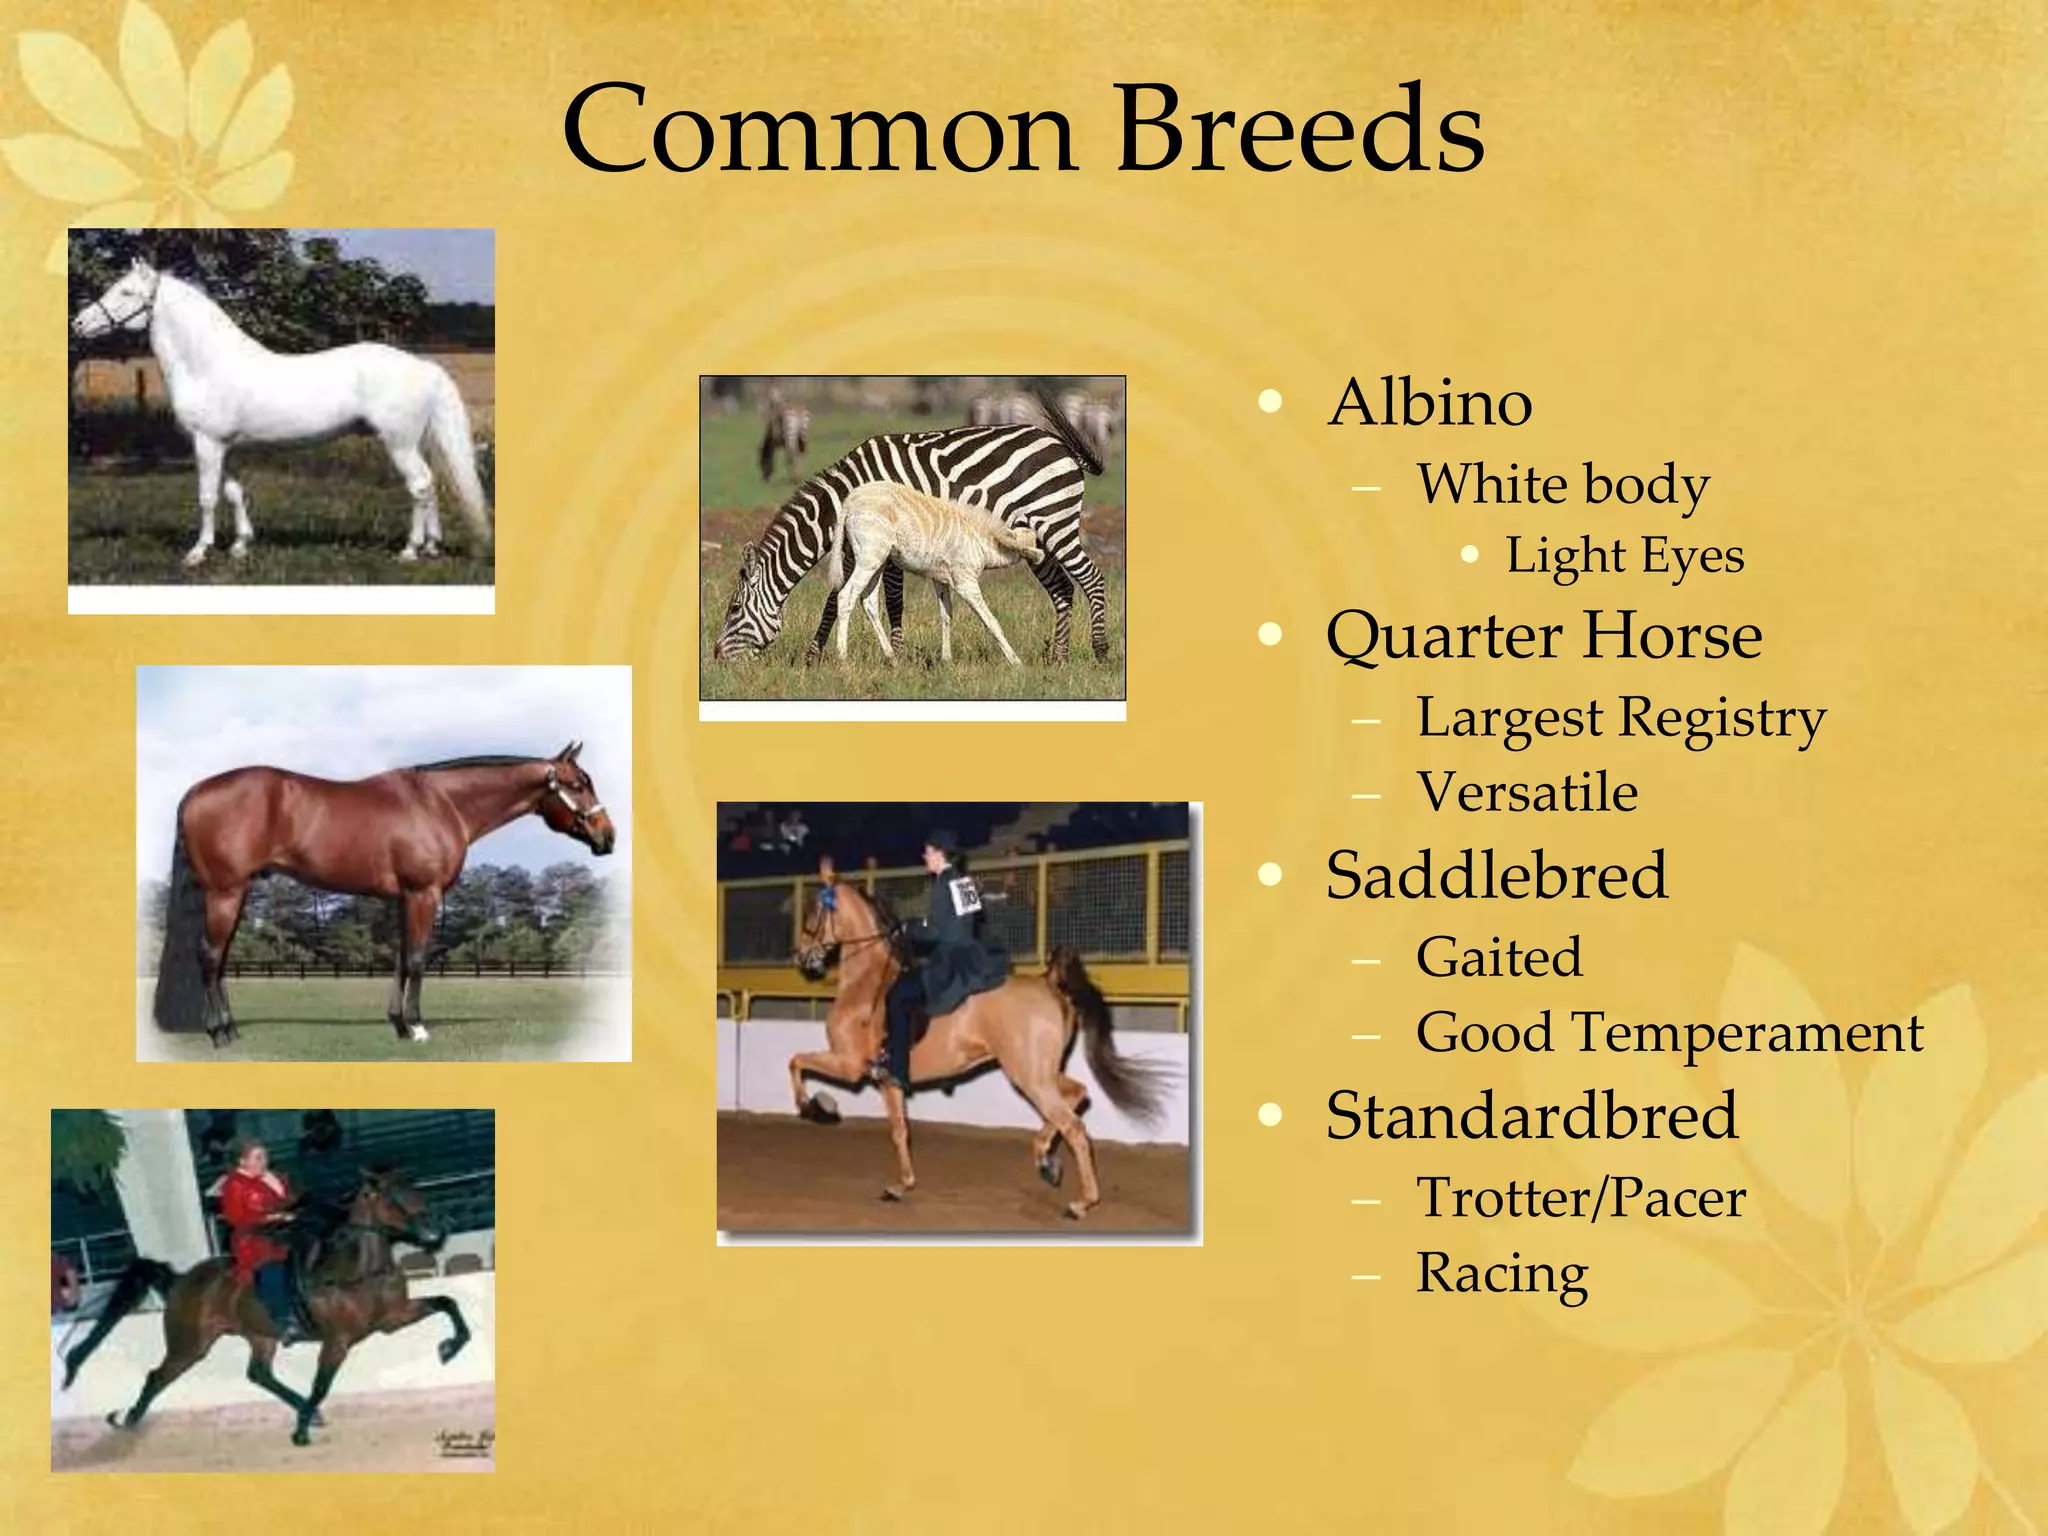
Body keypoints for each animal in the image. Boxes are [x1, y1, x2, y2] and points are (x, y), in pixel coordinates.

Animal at [59, 1169, 470, 1449]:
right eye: (391, 1194)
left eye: (413, 1187)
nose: (439, 1225)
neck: (359, 1272)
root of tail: (180, 1282)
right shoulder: (337, 1341)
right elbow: (322, 1384)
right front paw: (300, 1432)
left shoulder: (393, 1318)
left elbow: (447, 1303)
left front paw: (449, 1348)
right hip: (189, 1345)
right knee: (156, 1376)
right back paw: (128, 1420)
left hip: (259, 1336)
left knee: (258, 1374)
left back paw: (309, 1413)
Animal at [69, 258, 493, 568]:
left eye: (126, 291)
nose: (79, 323)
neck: (207, 363)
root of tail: (425, 366)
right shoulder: (227, 448)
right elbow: (234, 492)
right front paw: (241, 545)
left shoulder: (207, 444)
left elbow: (206, 497)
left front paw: (198, 552)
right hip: (416, 440)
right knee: (431, 485)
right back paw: (432, 546)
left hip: (398, 442)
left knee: (419, 485)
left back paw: (409, 550)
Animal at [153, 742, 614, 1048]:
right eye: (578, 784)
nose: (607, 837)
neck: (441, 803)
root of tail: (195, 792)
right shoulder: (423, 894)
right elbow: (417, 958)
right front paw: (417, 1026)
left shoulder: (403, 898)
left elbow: (399, 958)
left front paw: (398, 1023)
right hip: (225, 892)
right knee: (210, 956)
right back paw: (219, 1034)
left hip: (236, 893)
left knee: (220, 958)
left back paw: (229, 1028)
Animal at [786, 858, 1167, 1219]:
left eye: (813, 909)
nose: (801, 956)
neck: (866, 985)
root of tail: (1048, 981)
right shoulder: (888, 1080)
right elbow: (899, 1131)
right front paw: (901, 1185)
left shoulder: (849, 1065)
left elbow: (795, 1062)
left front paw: (814, 1108)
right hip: (1041, 1072)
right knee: (1078, 1095)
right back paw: (1045, 1161)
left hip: (1029, 1076)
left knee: (1073, 1128)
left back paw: (1080, 1203)